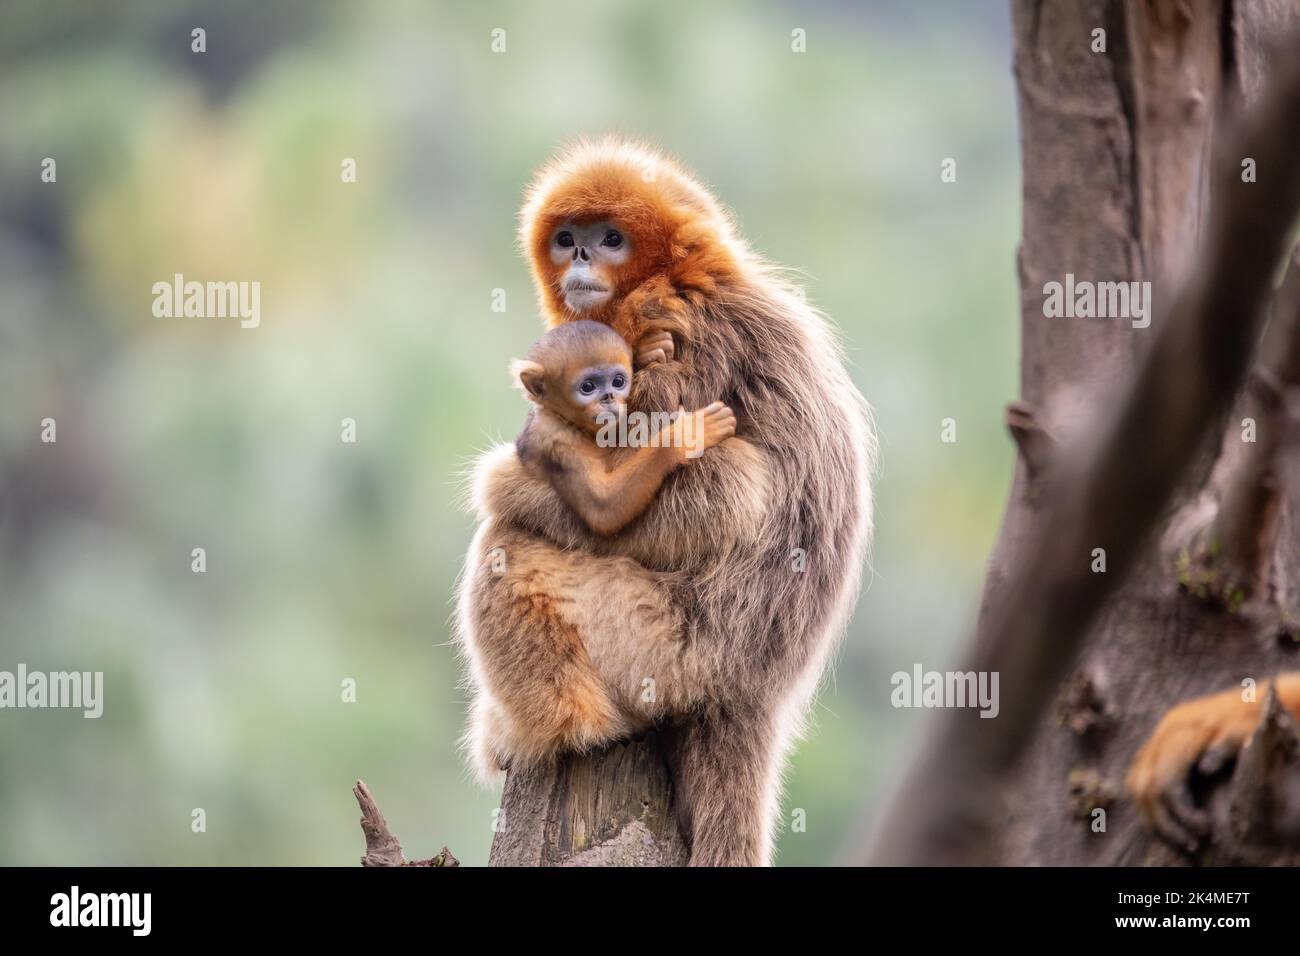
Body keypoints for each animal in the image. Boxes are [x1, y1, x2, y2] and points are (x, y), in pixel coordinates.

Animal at [511, 319, 737, 537]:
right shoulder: (555, 439)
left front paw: (650, 350)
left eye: (618, 381)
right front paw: (688, 434)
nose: (608, 397)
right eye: (588, 387)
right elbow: (604, 507)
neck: (564, 418)